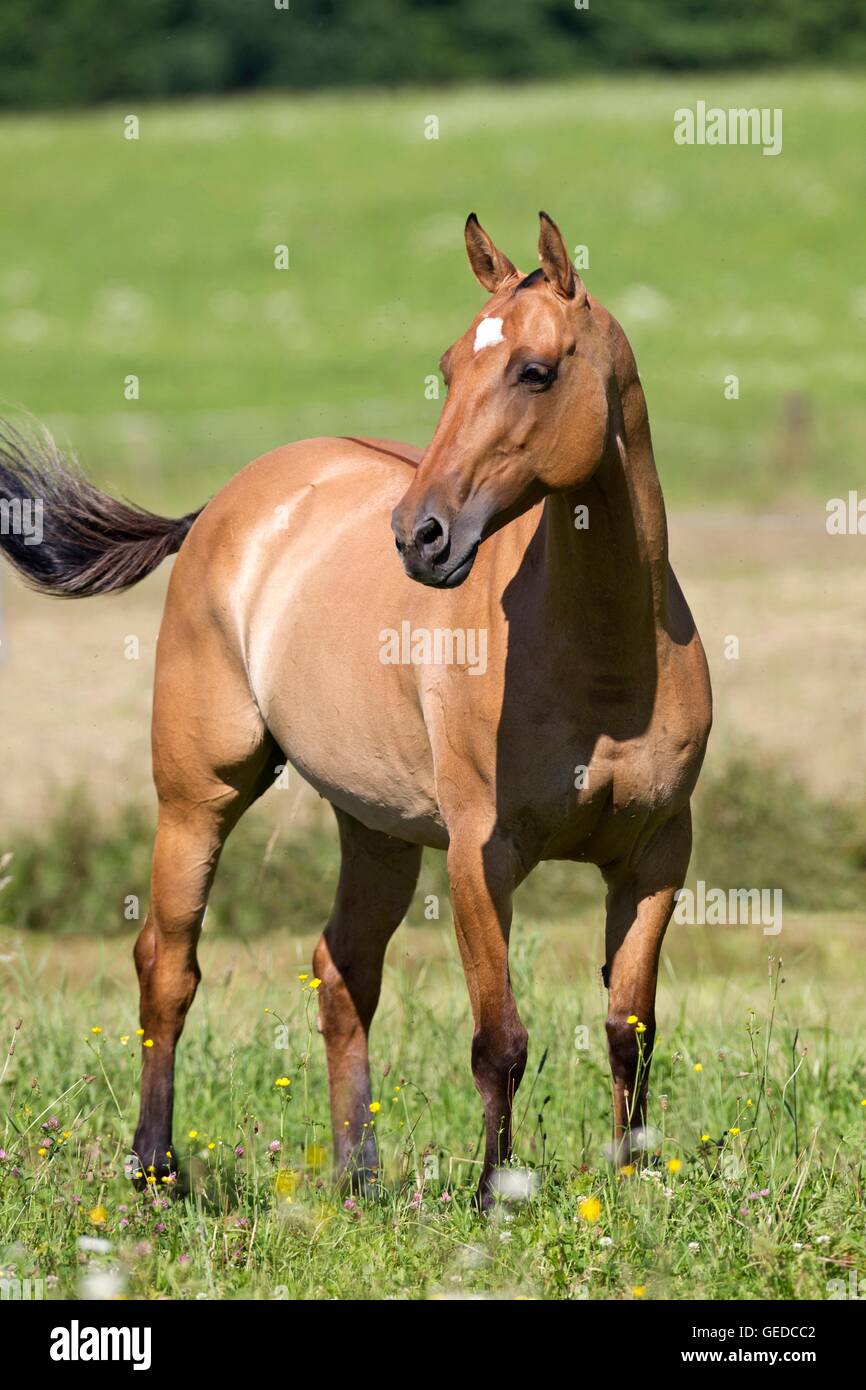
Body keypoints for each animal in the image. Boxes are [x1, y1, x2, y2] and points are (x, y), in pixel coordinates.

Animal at [0, 212, 712, 1206]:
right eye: (448, 368)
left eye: (535, 370)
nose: (420, 536)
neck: (608, 662)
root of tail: (223, 506)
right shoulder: (481, 855)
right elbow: (500, 1040)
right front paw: (495, 1197)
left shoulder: (654, 856)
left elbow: (629, 1030)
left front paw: (638, 1181)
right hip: (199, 796)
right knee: (167, 967)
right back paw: (156, 1167)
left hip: (374, 830)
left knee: (343, 971)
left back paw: (357, 1178)